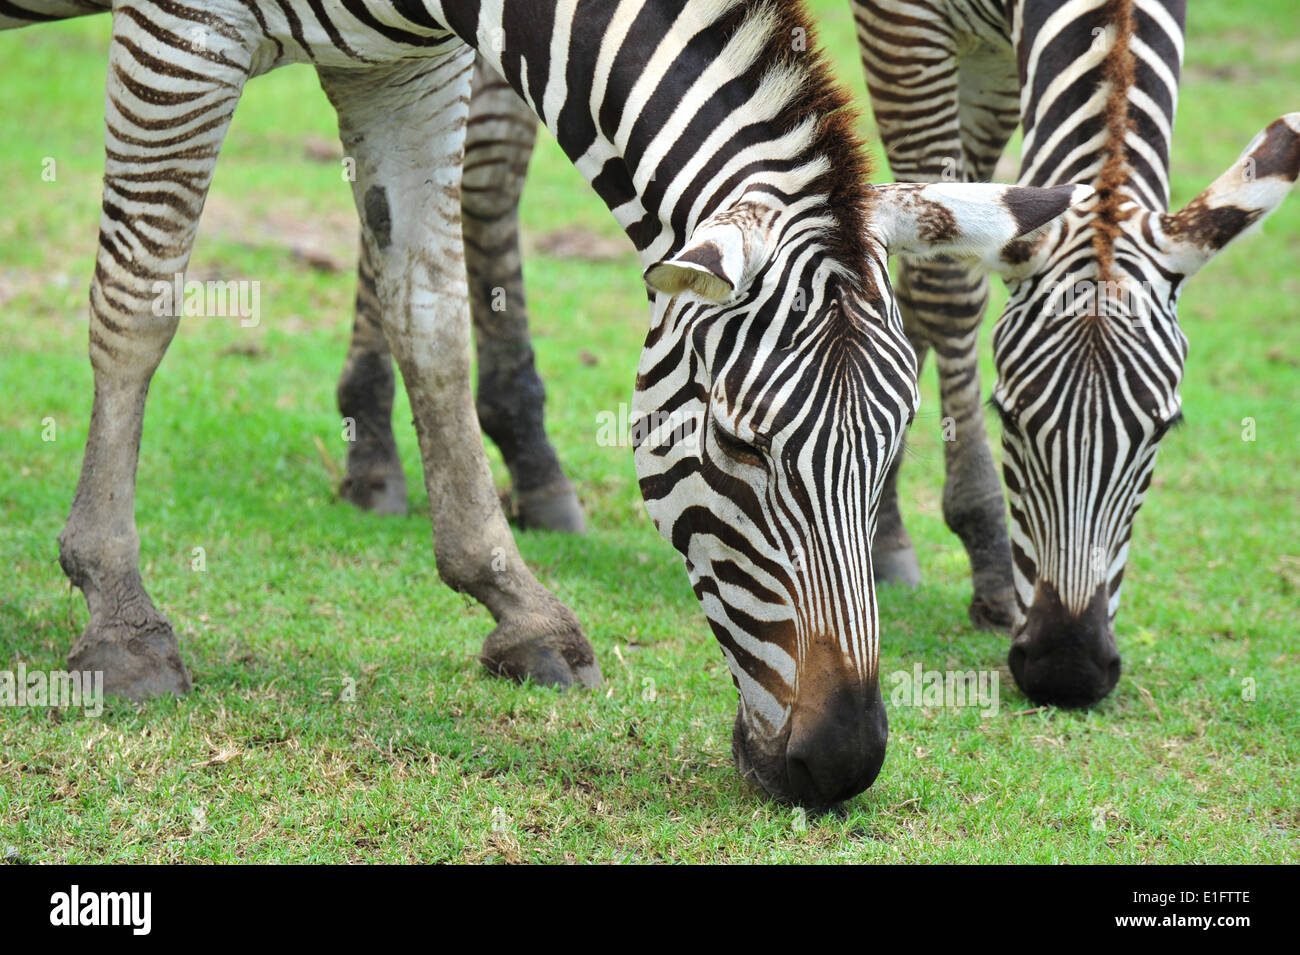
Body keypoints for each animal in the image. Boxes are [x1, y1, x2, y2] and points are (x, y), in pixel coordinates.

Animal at [852, 0, 1300, 706]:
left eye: (1163, 430)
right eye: (1008, 418)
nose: (1066, 672)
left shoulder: (999, 64)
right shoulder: (901, 28)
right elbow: (944, 282)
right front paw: (987, 554)